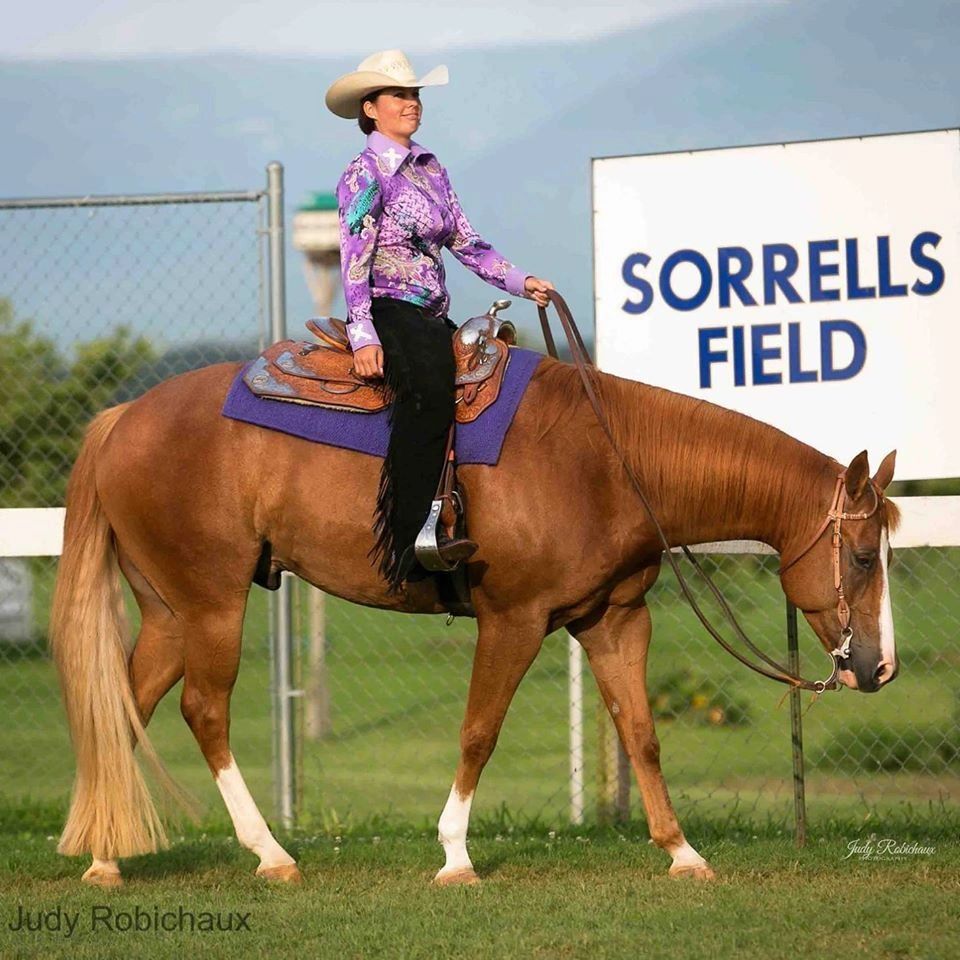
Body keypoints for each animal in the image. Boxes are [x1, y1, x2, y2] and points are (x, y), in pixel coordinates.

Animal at [49, 351, 899, 887]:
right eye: (862, 556)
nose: (879, 667)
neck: (605, 459)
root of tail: (123, 417)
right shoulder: (513, 620)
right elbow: (479, 732)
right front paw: (456, 857)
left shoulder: (616, 620)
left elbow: (641, 733)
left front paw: (682, 852)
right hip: (213, 604)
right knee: (204, 711)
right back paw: (270, 854)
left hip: (169, 612)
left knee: (122, 707)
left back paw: (104, 856)